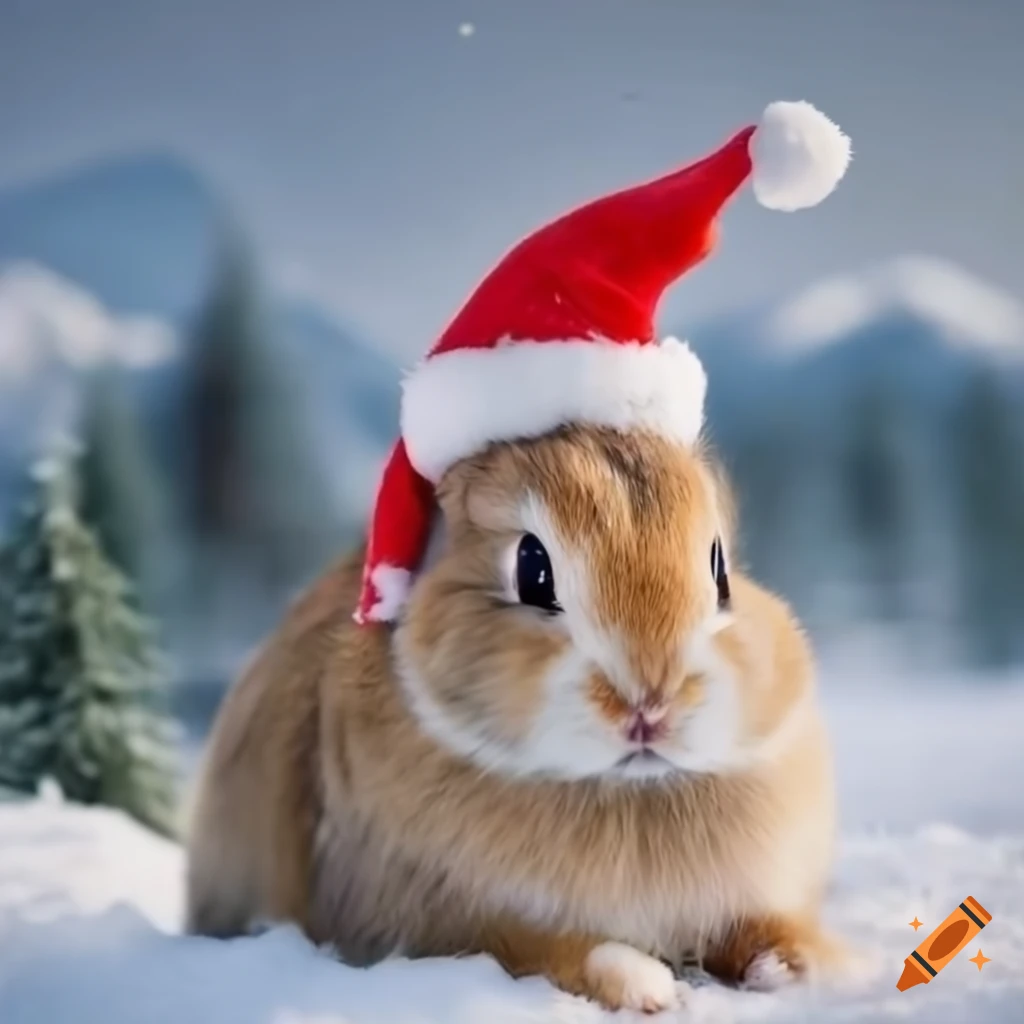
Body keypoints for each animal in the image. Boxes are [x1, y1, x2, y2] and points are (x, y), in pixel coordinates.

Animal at [186, 423, 843, 1014]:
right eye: (532, 569)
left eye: (719, 571)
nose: (650, 702)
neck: (627, 788)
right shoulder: (441, 922)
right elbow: (548, 949)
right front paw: (646, 987)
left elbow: (764, 928)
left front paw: (808, 964)